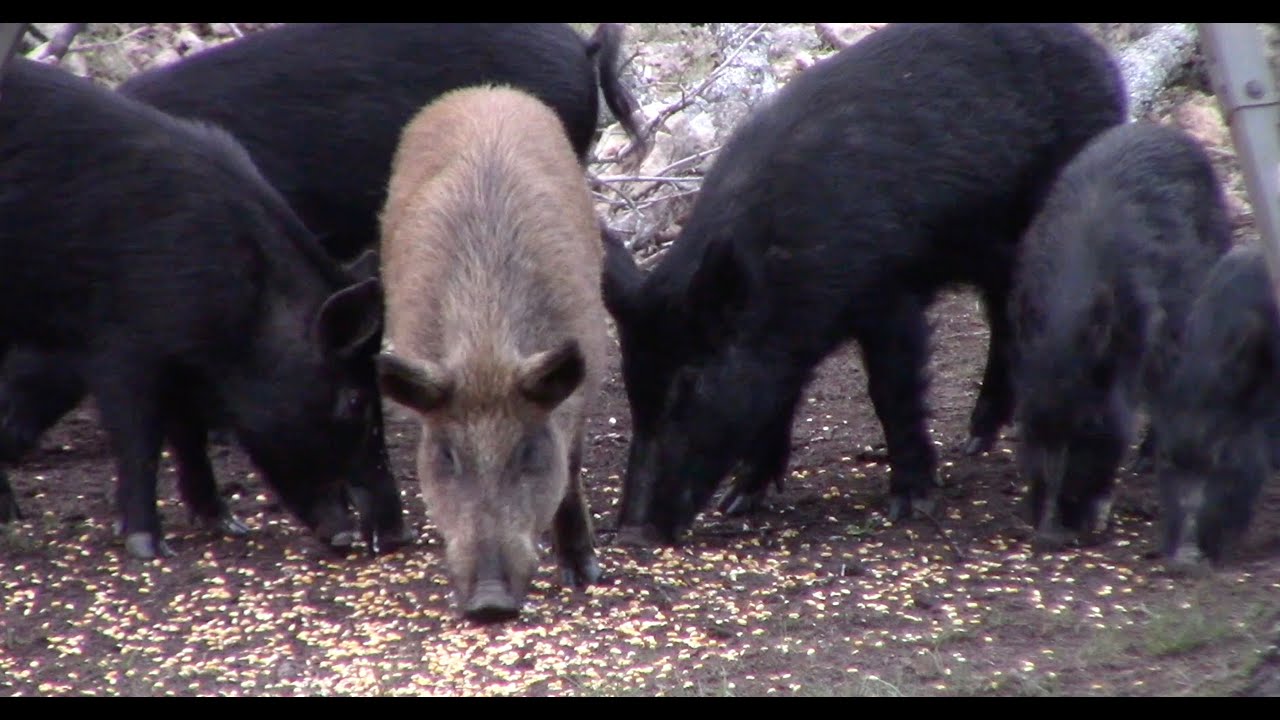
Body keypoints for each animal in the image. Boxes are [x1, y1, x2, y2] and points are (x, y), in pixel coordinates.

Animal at [0, 57, 388, 559]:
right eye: (355, 399)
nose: (396, 536)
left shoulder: (183, 358)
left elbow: (189, 433)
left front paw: (228, 524)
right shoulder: (120, 342)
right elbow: (139, 436)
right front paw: (148, 547)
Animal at [376, 85, 608, 621]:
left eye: (529, 451)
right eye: (446, 455)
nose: (489, 602)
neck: (486, 353)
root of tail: (484, 91)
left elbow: (572, 469)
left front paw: (585, 576)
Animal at [602, 23, 1127, 544]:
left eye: (691, 380)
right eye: (631, 386)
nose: (631, 533)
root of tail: (1101, 60)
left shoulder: (890, 294)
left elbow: (891, 392)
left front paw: (910, 505)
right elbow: (776, 402)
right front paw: (740, 501)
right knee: (1003, 311)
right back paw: (974, 441)